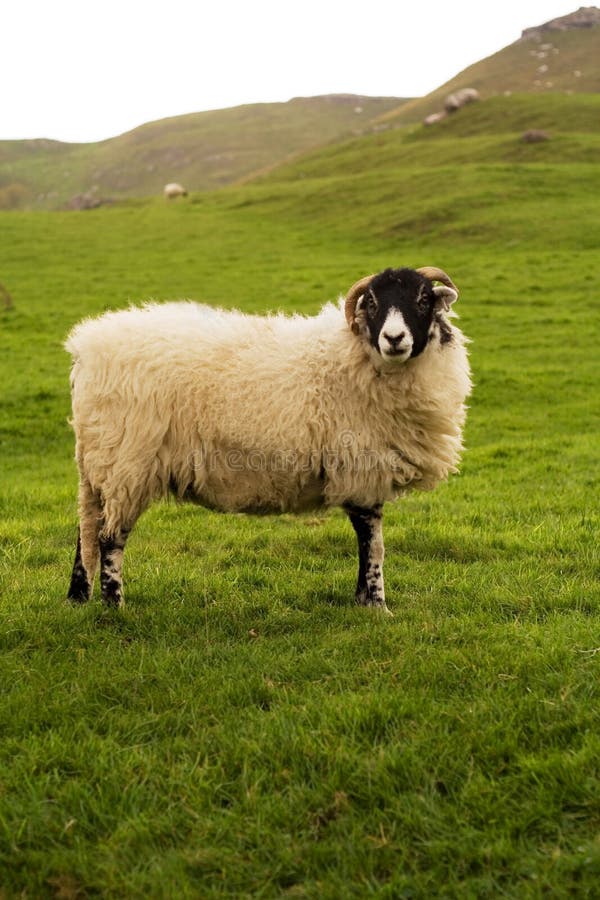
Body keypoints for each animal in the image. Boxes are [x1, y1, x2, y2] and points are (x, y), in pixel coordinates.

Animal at [65, 266, 471, 613]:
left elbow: (366, 539)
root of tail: (86, 351)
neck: (356, 357)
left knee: (87, 528)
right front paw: (376, 604)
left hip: (99, 459)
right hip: (126, 460)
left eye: (423, 298)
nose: (394, 338)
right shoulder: (361, 464)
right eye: (371, 302)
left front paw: (362, 601)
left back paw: (78, 596)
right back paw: (114, 605)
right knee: (109, 537)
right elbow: (373, 542)